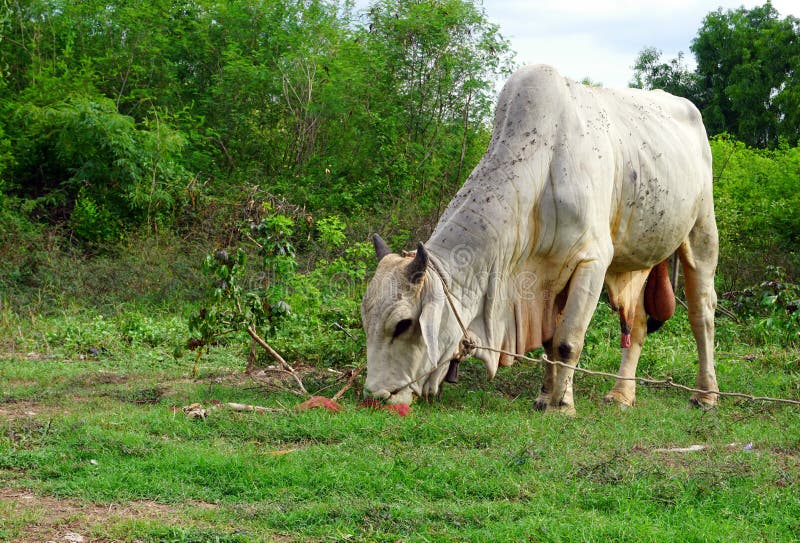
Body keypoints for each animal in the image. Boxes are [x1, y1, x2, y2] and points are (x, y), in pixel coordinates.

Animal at [361, 65, 719, 413]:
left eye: (403, 323)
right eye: (366, 320)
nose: (375, 395)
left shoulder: (592, 260)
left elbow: (567, 341)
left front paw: (562, 404)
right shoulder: (547, 280)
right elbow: (550, 342)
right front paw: (546, 396)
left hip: (702, 231)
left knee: (702, 314)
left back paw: (705, 394)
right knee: (638, 323)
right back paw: (621, 395)